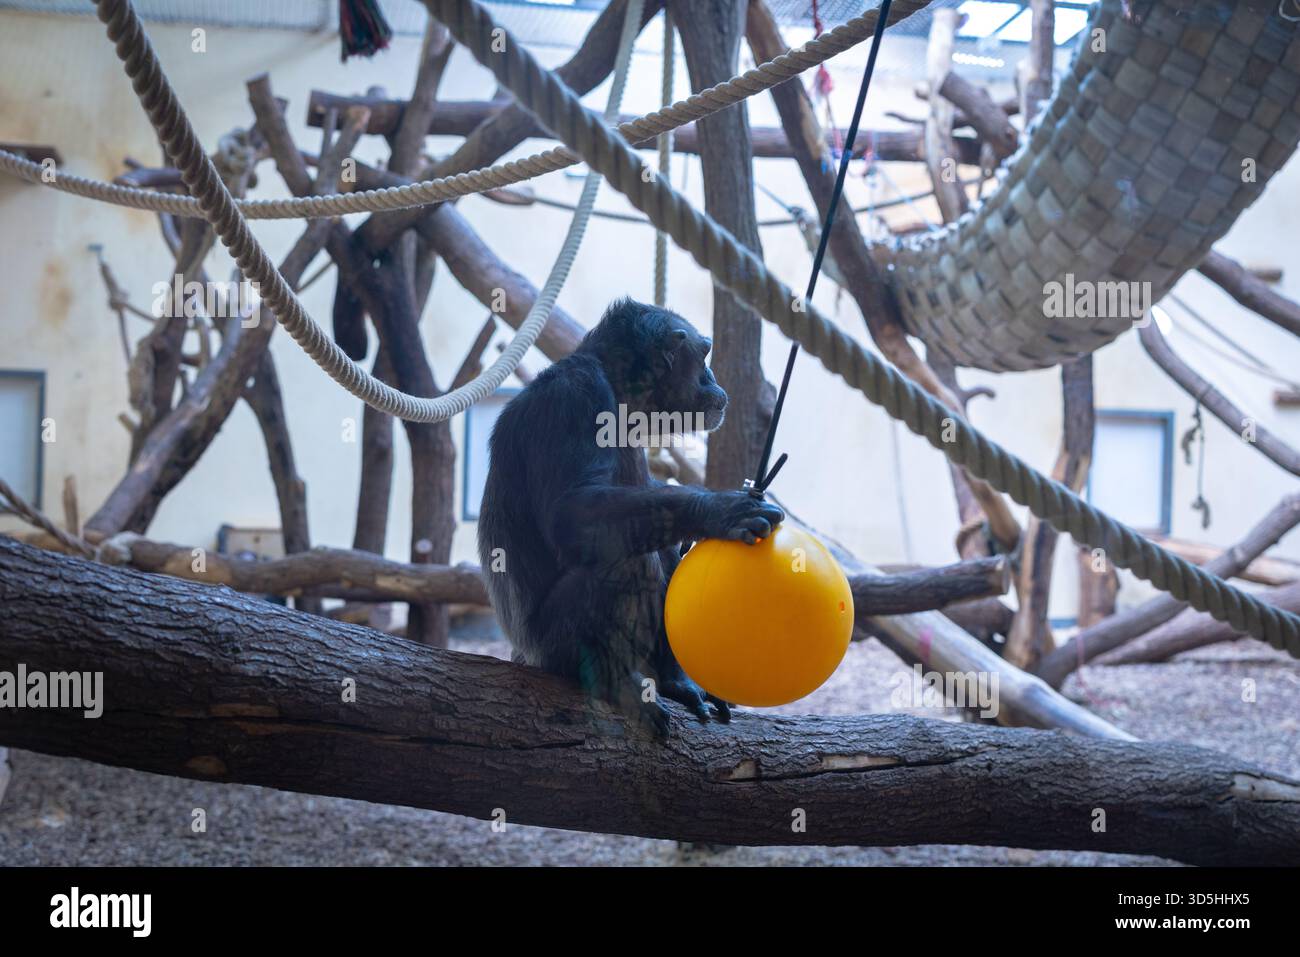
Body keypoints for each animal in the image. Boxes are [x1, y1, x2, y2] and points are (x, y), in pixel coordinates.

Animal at [478, 298, 784, 735]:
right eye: (705, 353)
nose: (711, 375)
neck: (621, 396)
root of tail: (522, 654)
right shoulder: (574, 398)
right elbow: (574, 511)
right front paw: (722, 508)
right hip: (552, 648)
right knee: (627, 560)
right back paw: (616, 680)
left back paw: (673, 681)